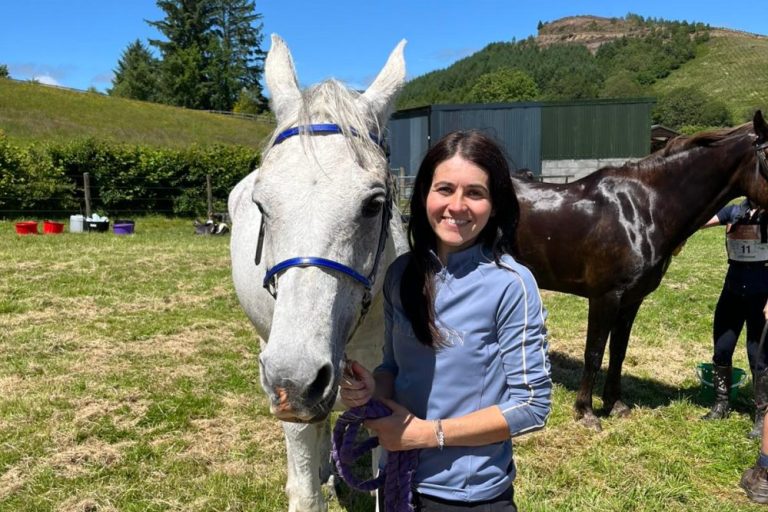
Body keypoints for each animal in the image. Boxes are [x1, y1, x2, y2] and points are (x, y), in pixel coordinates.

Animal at [511, 112, 768, 431]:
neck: (642, 209)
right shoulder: (605, 296)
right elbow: (594, 352)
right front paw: (586, 412)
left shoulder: (632, 299)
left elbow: (618, 352)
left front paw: (615, 404)